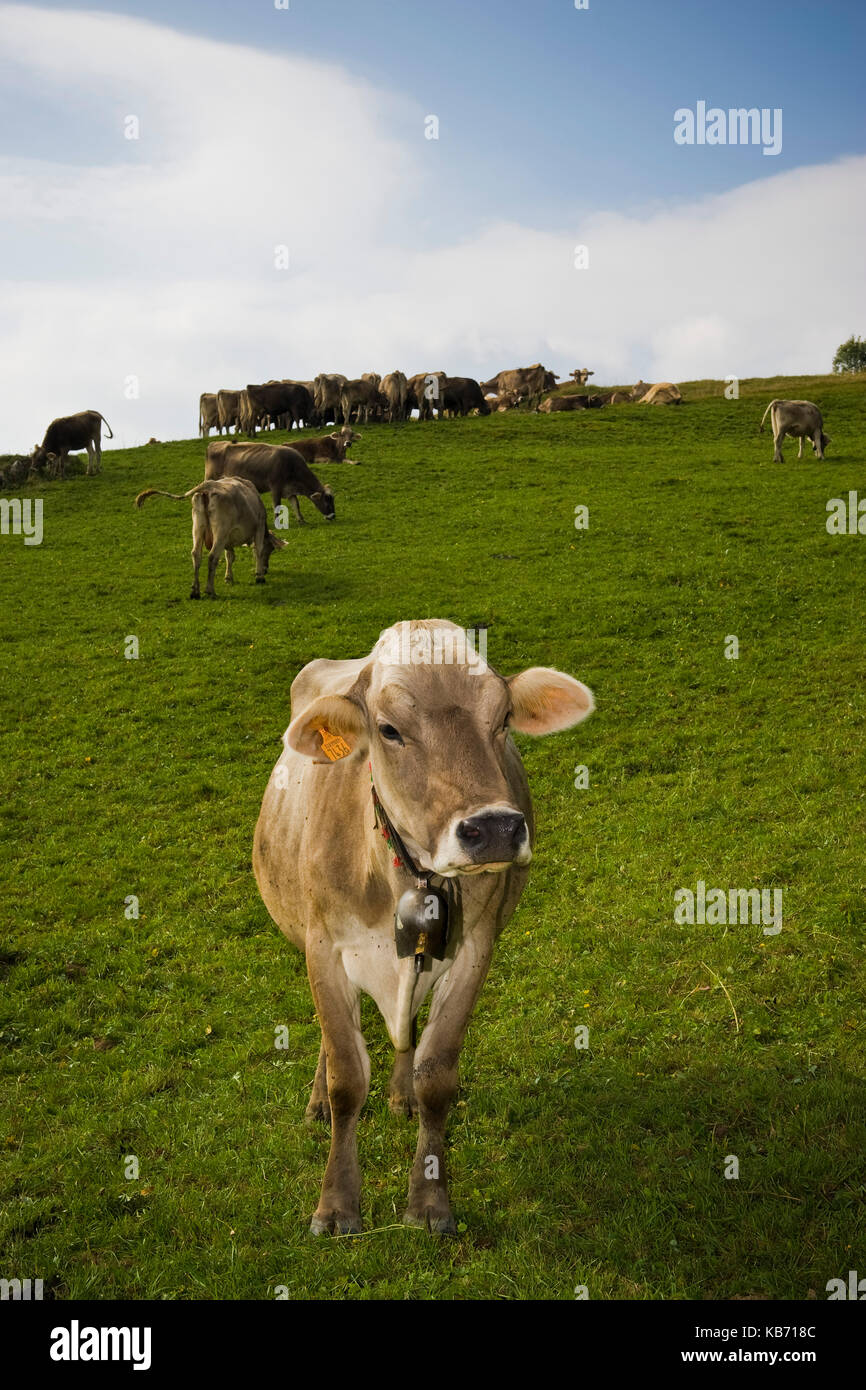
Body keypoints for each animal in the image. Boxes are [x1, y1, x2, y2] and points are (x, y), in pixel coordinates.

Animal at [135, 476, 287, 599]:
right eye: (271, 549)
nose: (266, 569)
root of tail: (209, 485)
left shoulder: (228, 539)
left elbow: (230, 556)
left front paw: (228, 578)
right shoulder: (259, 528)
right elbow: (258, 551)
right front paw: (259, 576)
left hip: (198, 527)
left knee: (196, 554)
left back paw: (195, 591)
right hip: (220, 531)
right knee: (212, 556)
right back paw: (210, 591)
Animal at [205, 440, 335, 525]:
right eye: (327, 503)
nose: (333, 516)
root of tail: (214, 444)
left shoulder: (290, 489)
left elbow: (296, 504)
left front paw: (301, 520)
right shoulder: (276, 487)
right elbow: (276, 505)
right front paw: (277, 522)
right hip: (210, 478)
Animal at [252, 618, 594, 1235]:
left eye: (503, 718)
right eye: (389, 729)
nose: (495, 828)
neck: (407, 875)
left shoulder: (476, 946)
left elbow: (437, 1074)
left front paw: (429, 1200)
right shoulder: (323, 948)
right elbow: (346, 1075)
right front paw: (336, 1204)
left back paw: (401, 1093)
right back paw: (318, 1101)